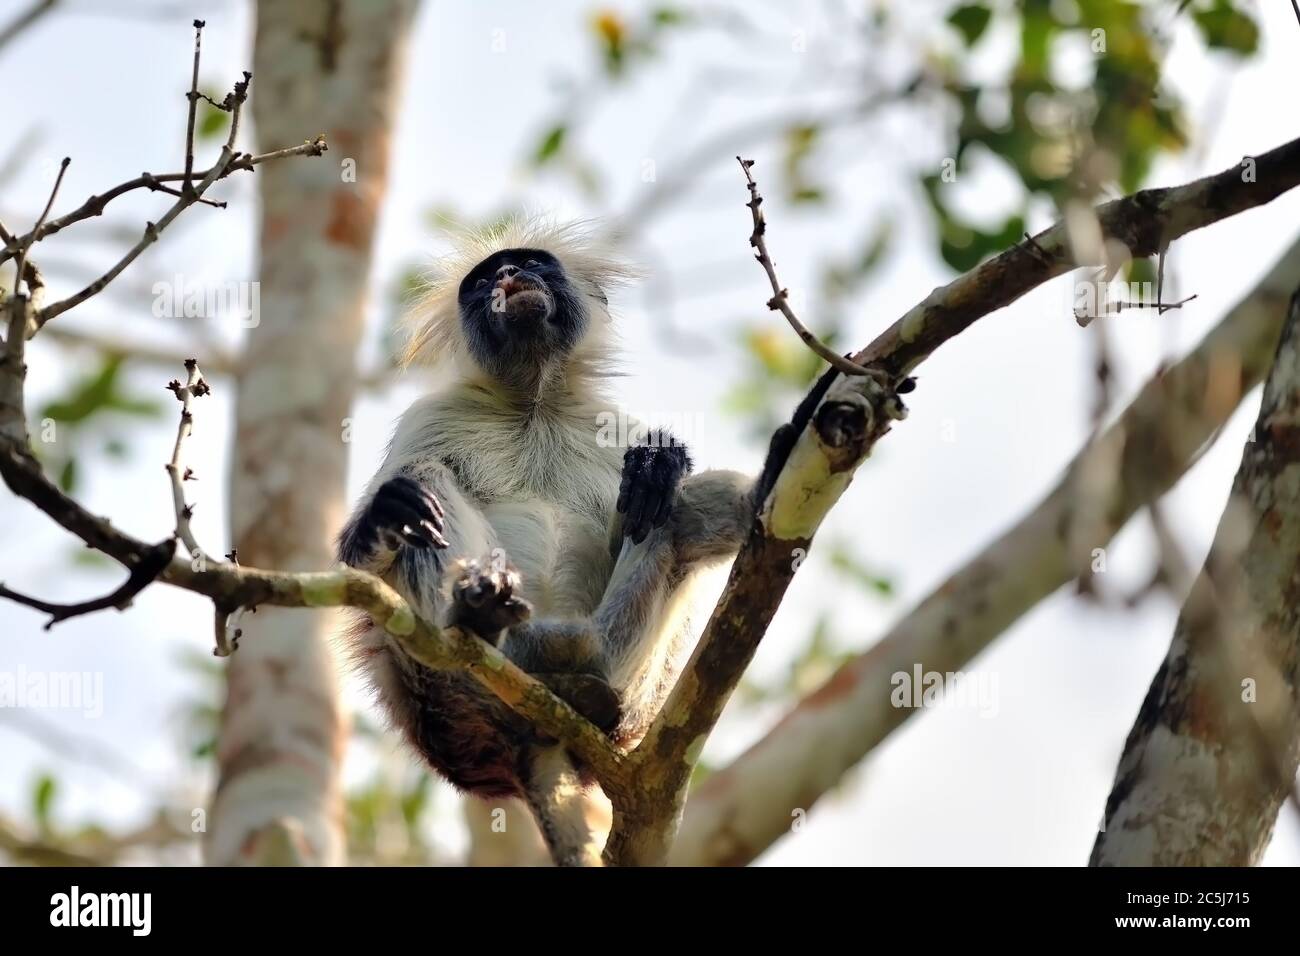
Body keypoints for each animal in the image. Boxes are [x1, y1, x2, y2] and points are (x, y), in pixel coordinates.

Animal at [336, 218, 839, 866]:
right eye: (482, 281)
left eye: (531, 264)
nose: (507, 275)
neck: (534, 405)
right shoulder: (434, 415)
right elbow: (361, 561)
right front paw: (379, 524)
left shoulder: (608, 425)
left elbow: (652, 489)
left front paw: (660, 463)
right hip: (440, 692)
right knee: (428, 485)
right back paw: (476, 617)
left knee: (669, 517)